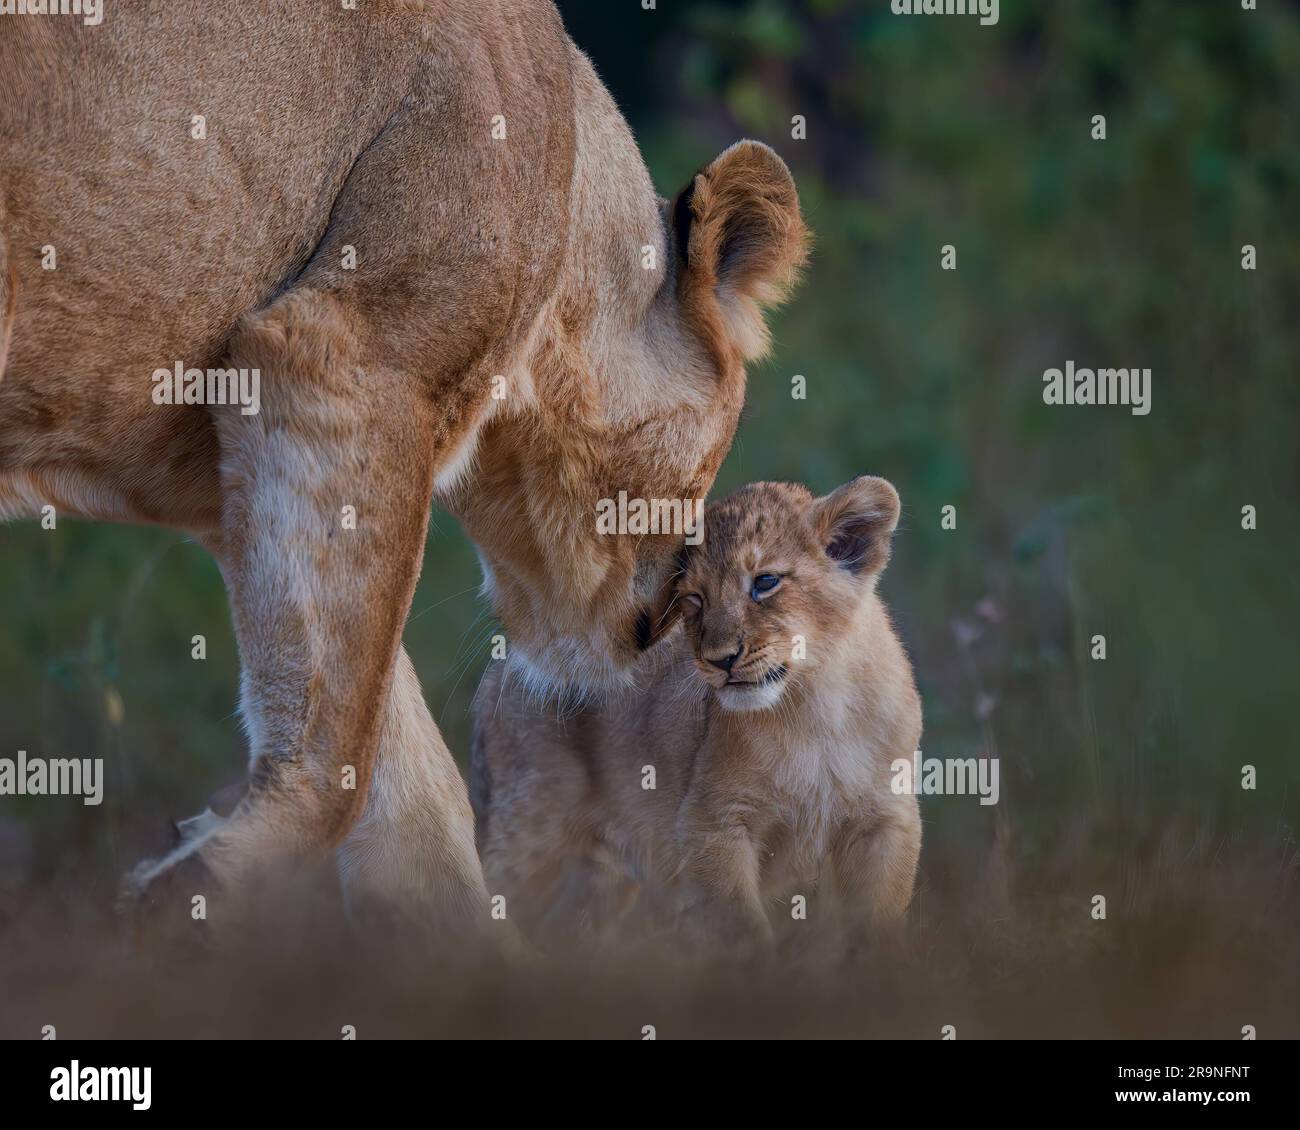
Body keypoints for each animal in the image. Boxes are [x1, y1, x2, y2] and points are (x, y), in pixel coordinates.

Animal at [0, 2, 807, 934]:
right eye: (707, 469)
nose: (662, 631)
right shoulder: (348, 365)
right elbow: (343, 755)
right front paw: (190, 888)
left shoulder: (258, 475)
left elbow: (413, 800)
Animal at [471, 477, 923, 948]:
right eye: (694, 598)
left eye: (765, 582)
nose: (720, 659)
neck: (816, 704)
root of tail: (509, 656)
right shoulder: (712, 824)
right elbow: (741, 930)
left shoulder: (886, 821)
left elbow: (873, 923)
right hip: (530, 827)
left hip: (600, 878)